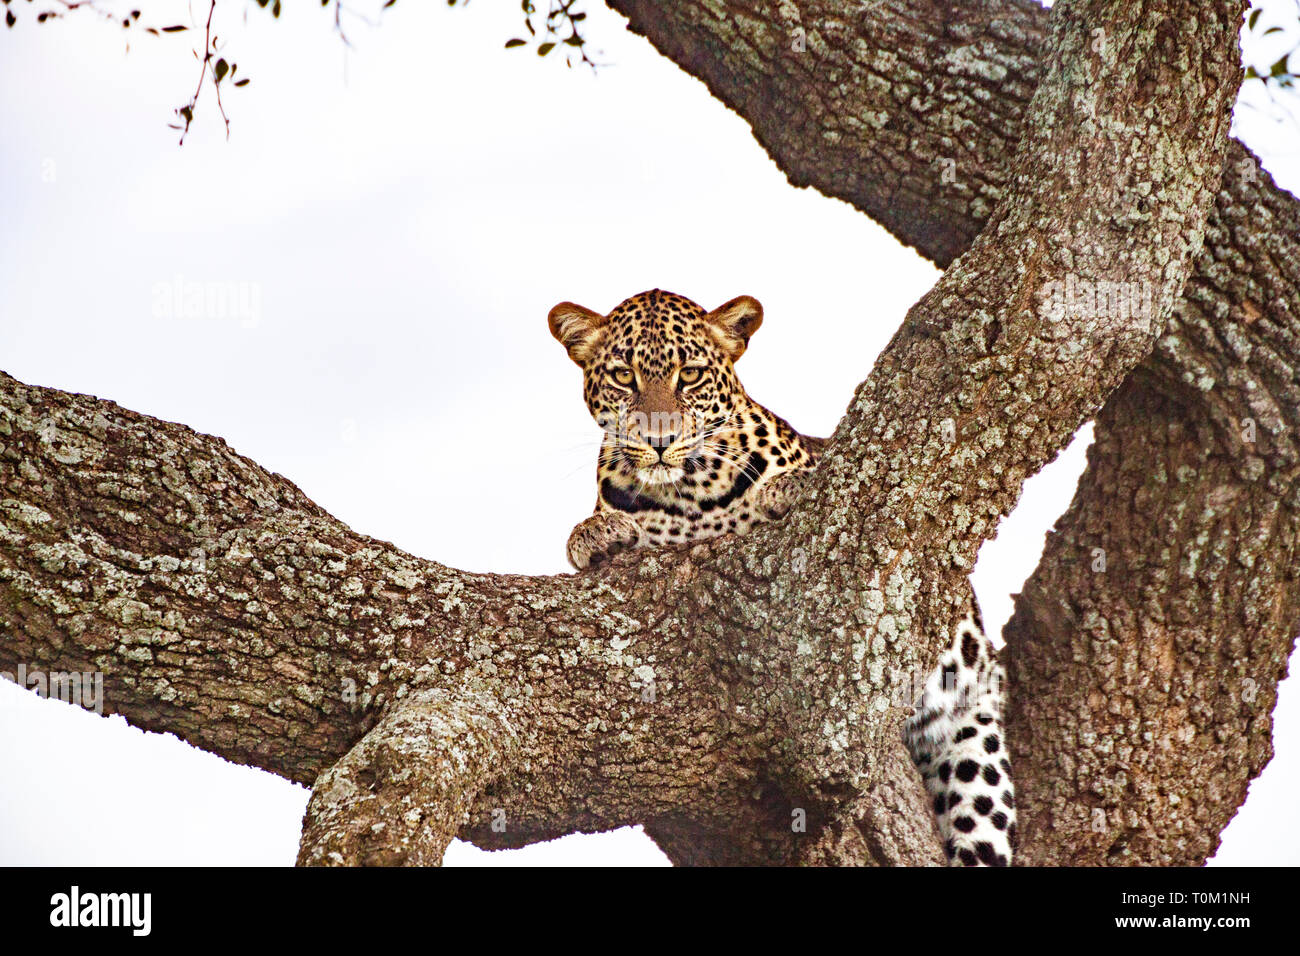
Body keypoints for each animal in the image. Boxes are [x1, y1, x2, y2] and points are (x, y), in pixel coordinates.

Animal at [549, 288, 1015, 866]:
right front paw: (595, 533)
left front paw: (785, 488)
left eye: (690, 375)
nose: (660, 440)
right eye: (622, 376)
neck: (688, 498)